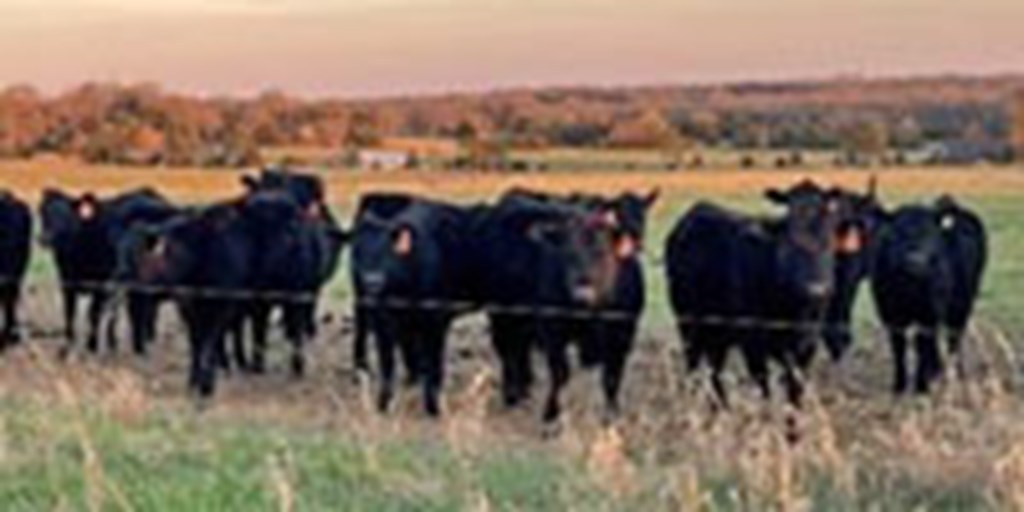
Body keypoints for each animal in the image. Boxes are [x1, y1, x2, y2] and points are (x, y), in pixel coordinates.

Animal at [350, 195, 477, 416]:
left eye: (389, 252)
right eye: (358, 252)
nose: (372, 281)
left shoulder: (436, 321)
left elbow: (434, 362)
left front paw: (433, 407)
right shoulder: (384, 321)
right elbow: (388, 363)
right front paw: (383, 403)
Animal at [664, 184, 844, 407]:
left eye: (829, 241)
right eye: (790, 241)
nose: (816, 289)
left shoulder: (807, 344)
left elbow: (795, 390)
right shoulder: (753, 342)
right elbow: (763, 388)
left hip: (717, 333)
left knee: (715, 370)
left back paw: (720, 408)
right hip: (689, 324)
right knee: (694, 366)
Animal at [870, 196, 987, 394]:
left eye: (930, 234)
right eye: (895, 234)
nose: (914, 261)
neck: (909, 289)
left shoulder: (928, 315)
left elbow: (921, 346)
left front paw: (921, 386)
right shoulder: (891, 315)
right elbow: (899, 346)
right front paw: (899, 385)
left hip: (961, 304)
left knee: (953, 338)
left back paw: (956, 373)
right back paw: (936, 371)